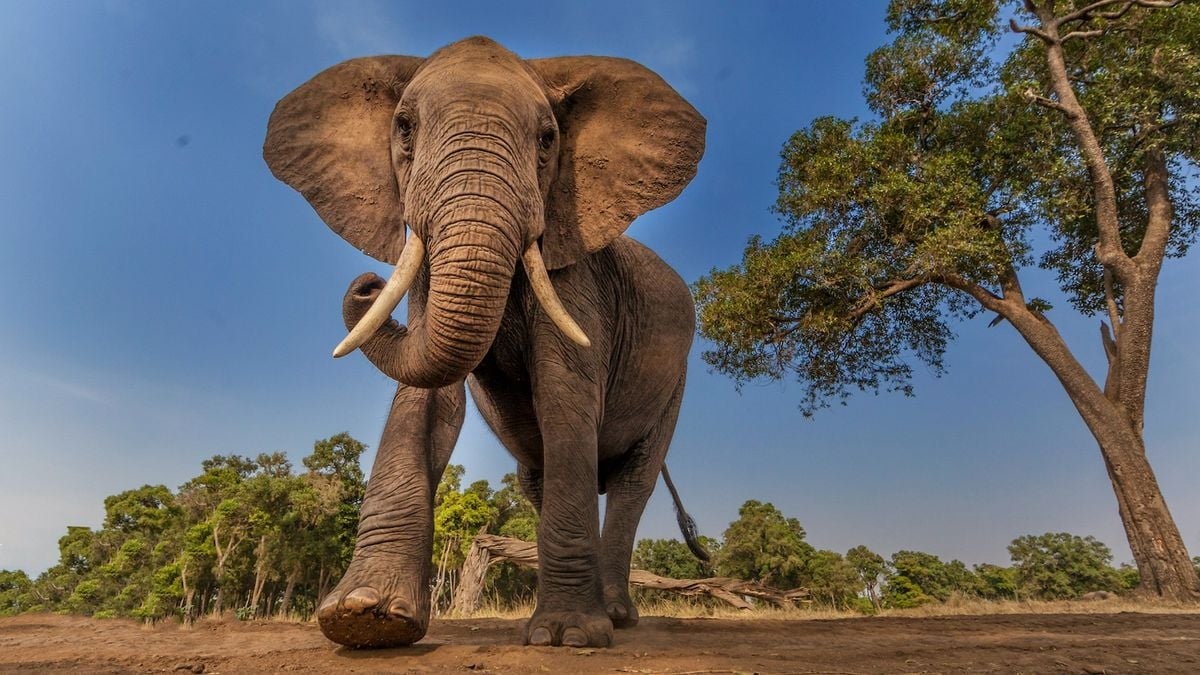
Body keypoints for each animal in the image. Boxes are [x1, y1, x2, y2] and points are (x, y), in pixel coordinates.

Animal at [263, 36, 706, 649]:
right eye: (404, 128)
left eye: (547, 140)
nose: (366, 283)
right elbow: (426, 399)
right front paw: (363, 618)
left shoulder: (577, 275)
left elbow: (565, 395)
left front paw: (568, 637)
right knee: (538, 477)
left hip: (677, 381)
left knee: (633, 480)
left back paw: (614, 617)